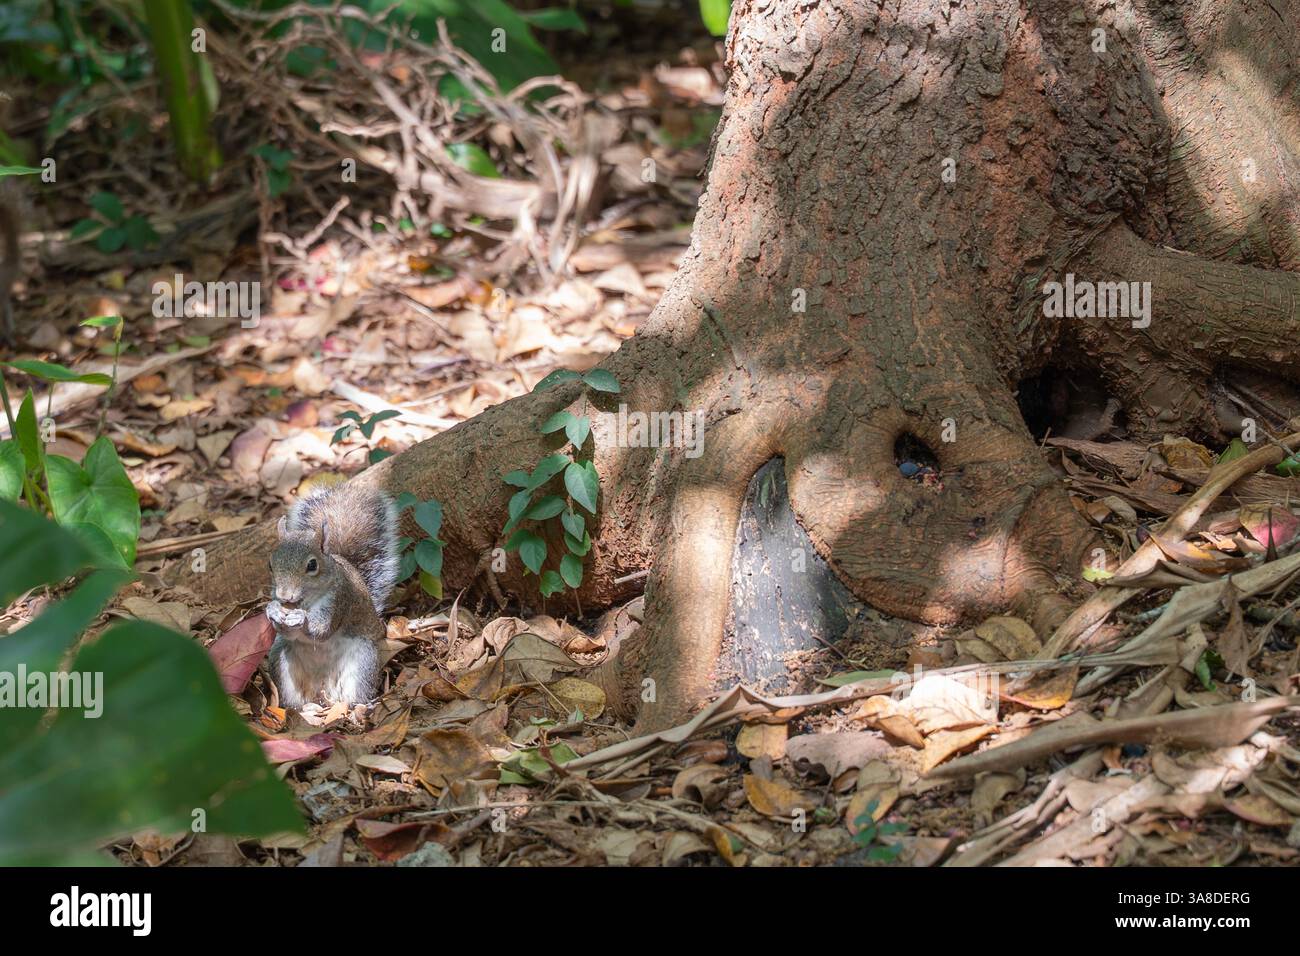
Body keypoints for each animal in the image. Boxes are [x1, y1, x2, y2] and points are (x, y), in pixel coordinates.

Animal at [266, 483, 400, 710]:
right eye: (270, 564)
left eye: (312, 565)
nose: (284, 596)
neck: (306, 602)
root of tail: (322, 688)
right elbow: (286, 631)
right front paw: (273, 610)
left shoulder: (338, 600)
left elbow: (322, 630)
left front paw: (302, 619)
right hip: (280, 660)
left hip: (362, 661)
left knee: (357, 693)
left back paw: (360, 707)